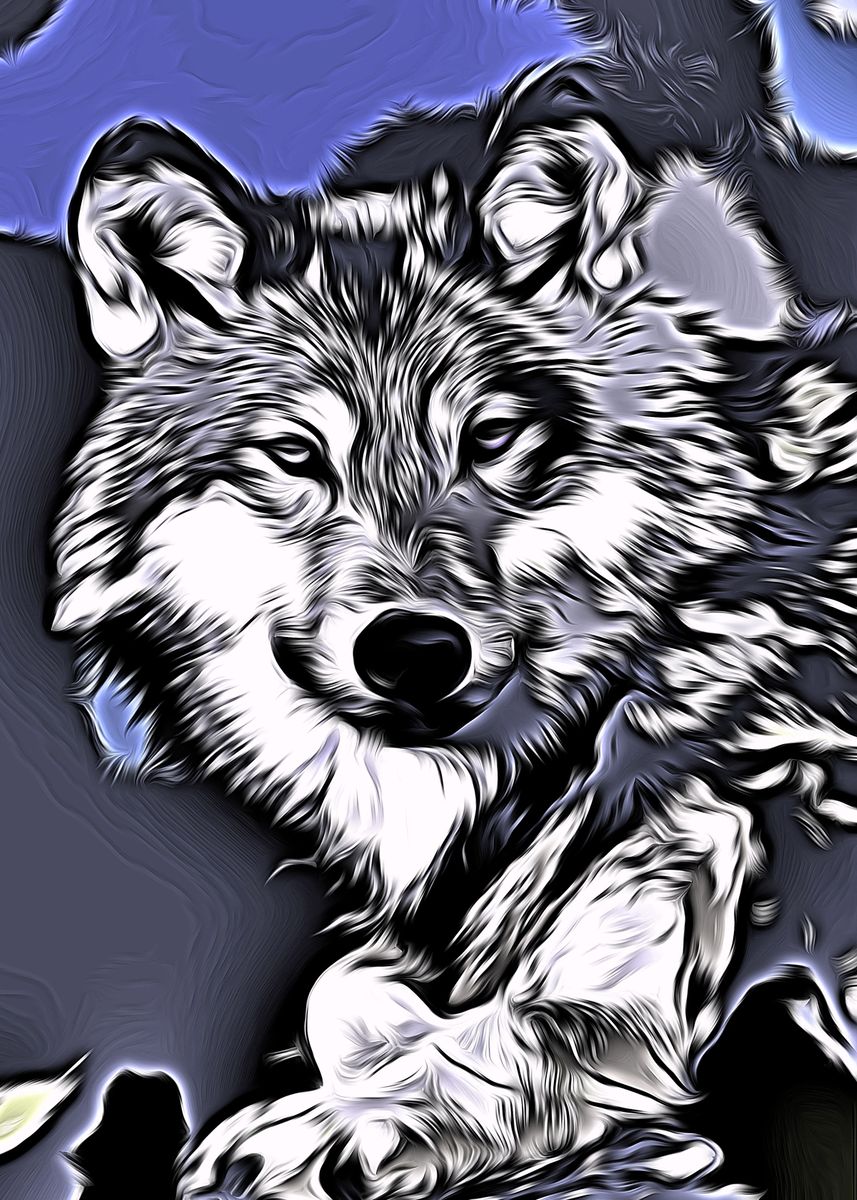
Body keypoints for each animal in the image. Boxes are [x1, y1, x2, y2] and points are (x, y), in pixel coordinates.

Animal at [49, 50, 857, 1200]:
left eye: (488, 439)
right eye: (295, 457)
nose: (415, 651)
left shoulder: (673, 941)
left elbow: (500, 1042)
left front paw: (324, 1127)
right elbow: (345, 988)